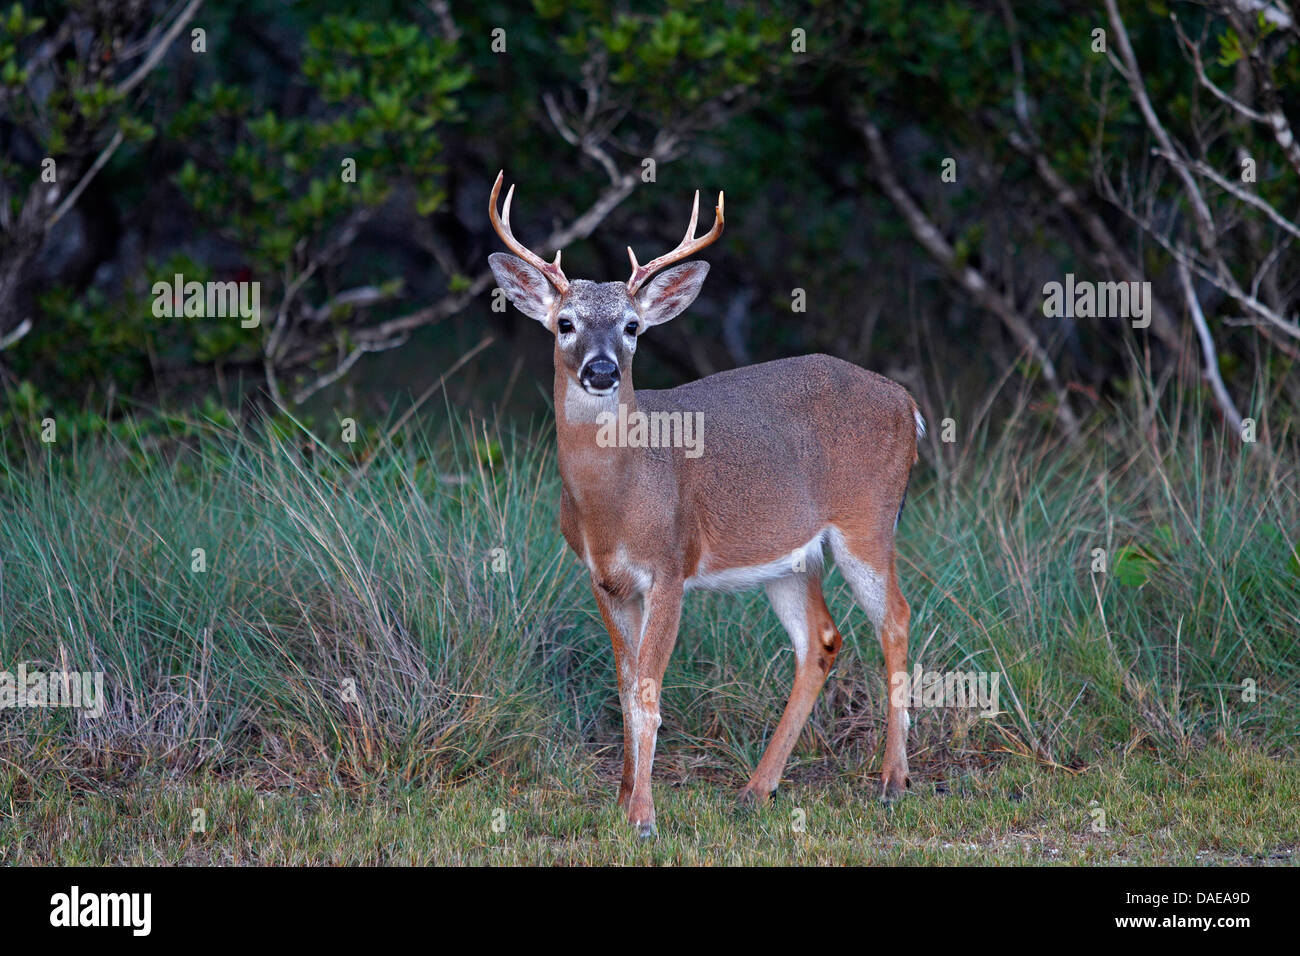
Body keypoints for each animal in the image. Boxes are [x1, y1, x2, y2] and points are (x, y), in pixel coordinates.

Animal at [487, 171, 924, 837]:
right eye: (564, 322)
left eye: (632, 326)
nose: (602, 370)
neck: (616, 503)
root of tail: (908, 404)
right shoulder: (603, 579)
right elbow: (624, 687)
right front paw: (622, 797)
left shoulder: (671, 565)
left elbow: (647, 691)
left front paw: (643, 816)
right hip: (789, 557)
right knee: (820, 641)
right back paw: (756, 789)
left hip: (867, 520)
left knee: (894, 618)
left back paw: (893, 782)